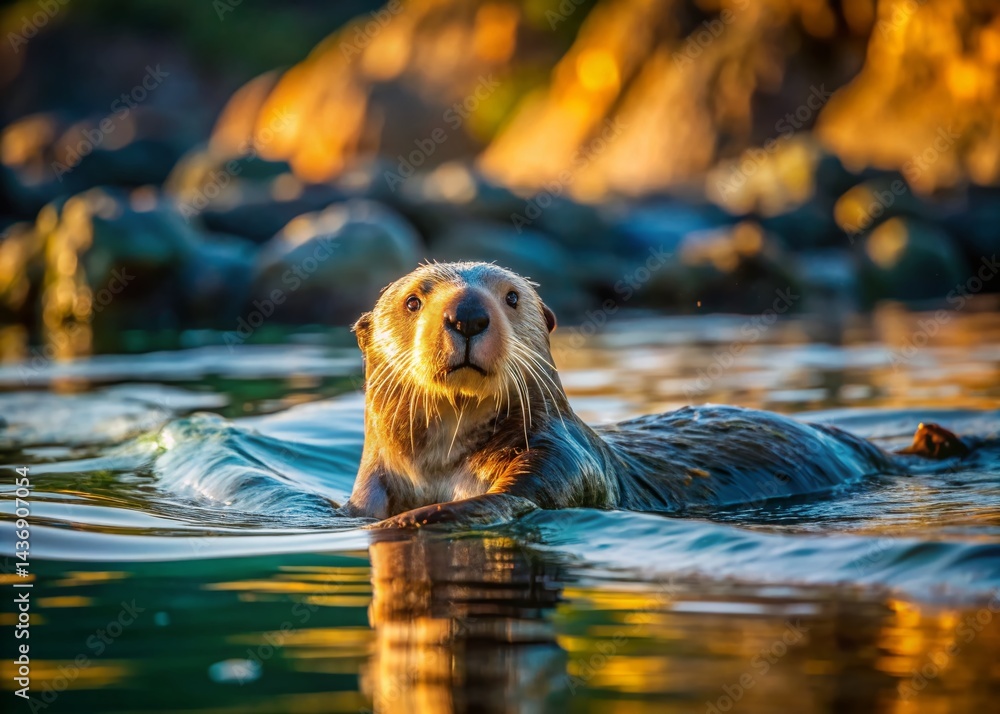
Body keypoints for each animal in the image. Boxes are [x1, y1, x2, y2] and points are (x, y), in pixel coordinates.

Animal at [341, 262, 973, 528]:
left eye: (512, 297)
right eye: (414, 301)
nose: (468, 314)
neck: (447, 467)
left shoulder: (564, 460)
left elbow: (517, 497)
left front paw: (426, 518)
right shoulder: (374, 480)